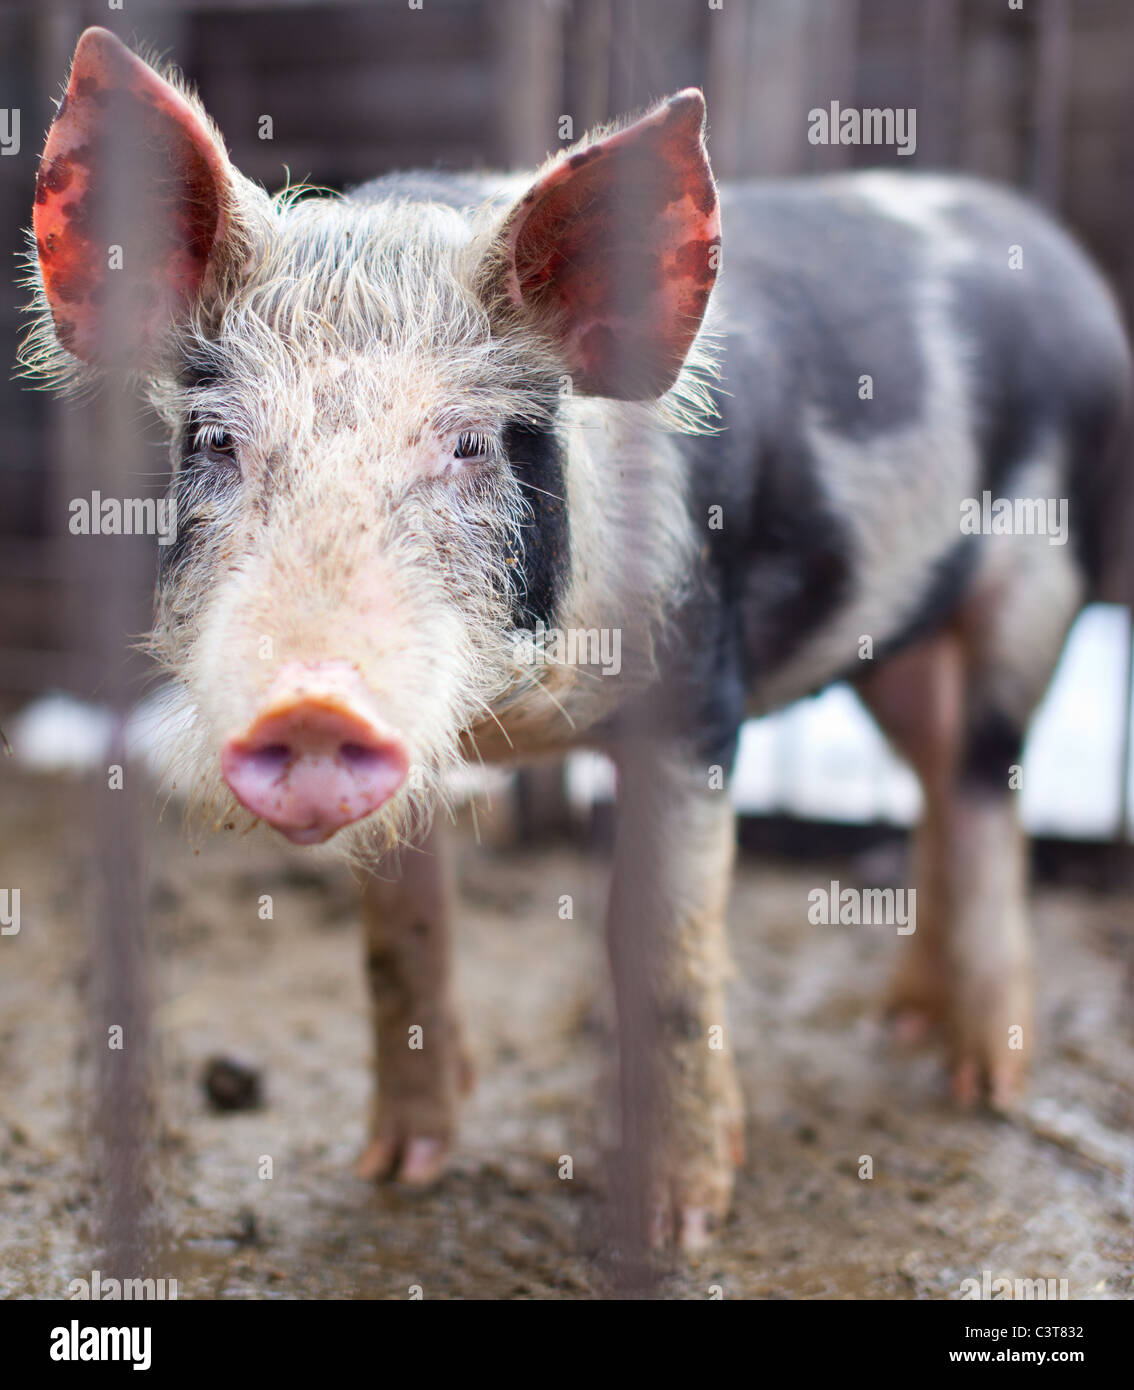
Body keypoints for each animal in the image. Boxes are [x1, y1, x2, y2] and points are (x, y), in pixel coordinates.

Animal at [23, 28, 1131, 1250]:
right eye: (216, 438)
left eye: (470, 443)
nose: (311, 702)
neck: (514, 726)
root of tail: (1062, 257)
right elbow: (398, 941)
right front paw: (396, 1169)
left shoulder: (699, 696)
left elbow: (671, 951)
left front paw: (679, 1226)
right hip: (898, 648)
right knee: (937, 779)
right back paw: (905, 1025)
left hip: (1042, 574)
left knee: (988, 791)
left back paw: (981, 1085)